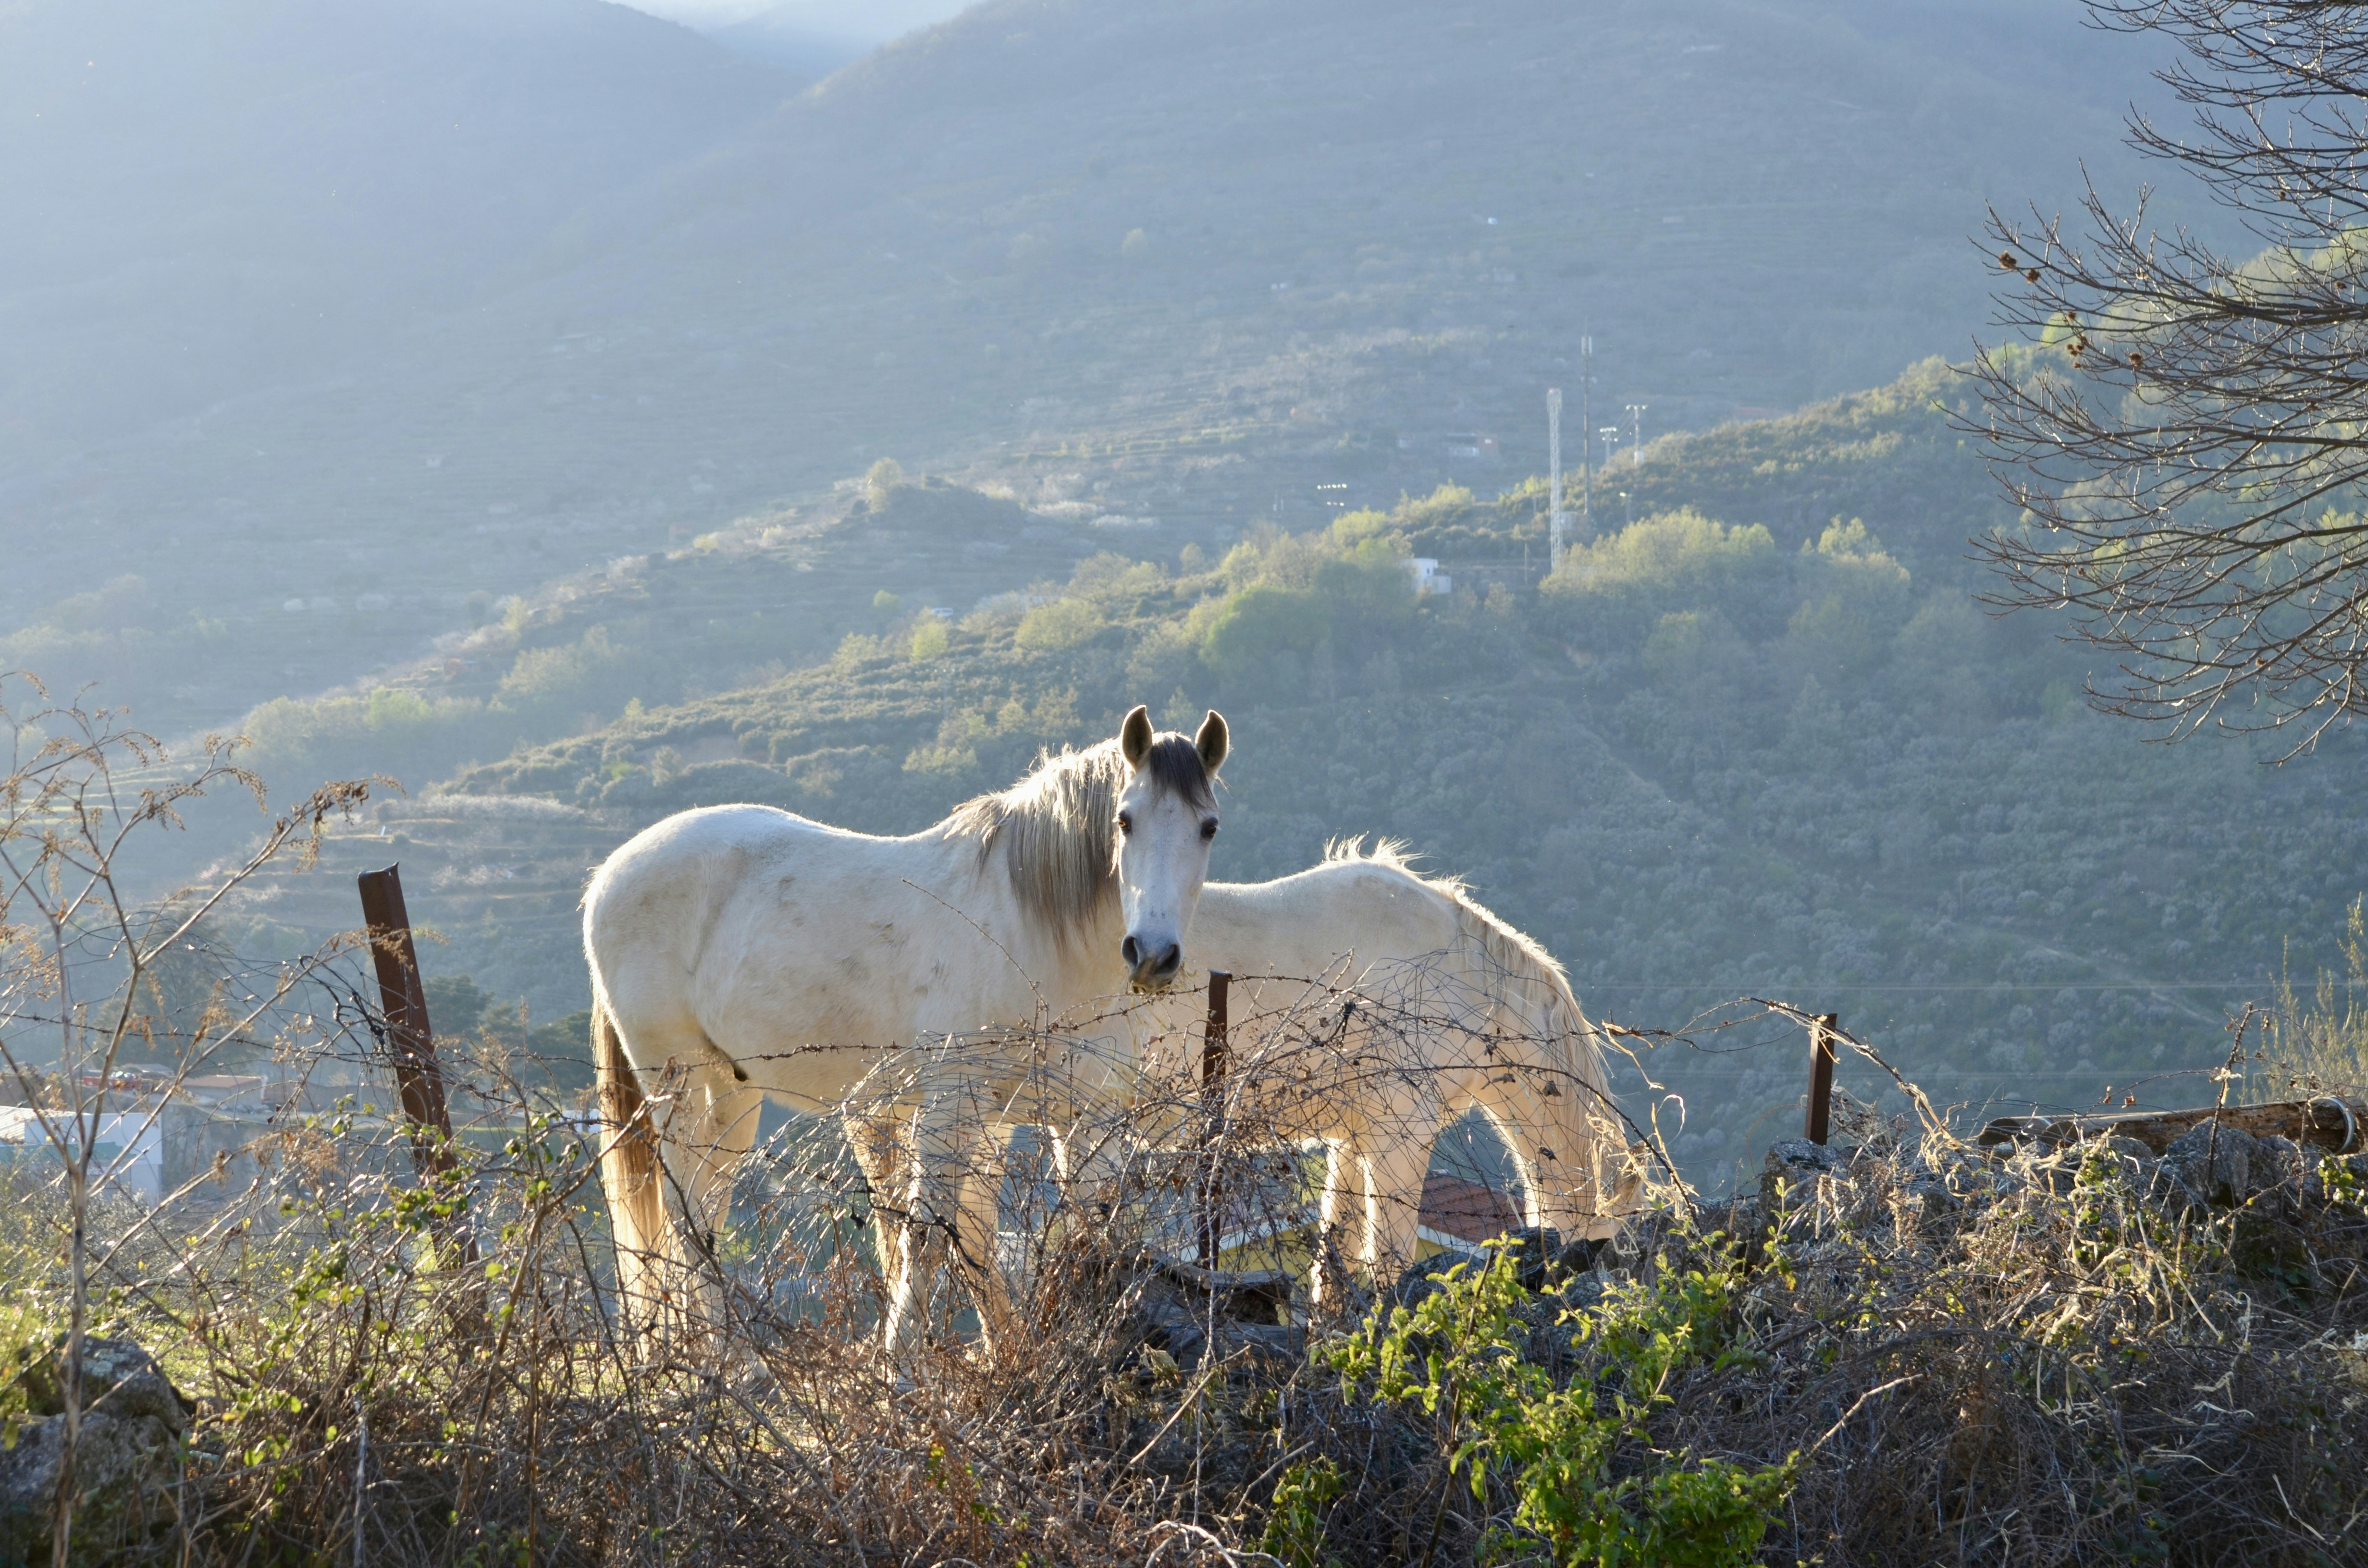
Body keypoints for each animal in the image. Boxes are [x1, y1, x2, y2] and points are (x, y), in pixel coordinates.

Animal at [585, 704, 1228, 1352]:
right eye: (1124, 820)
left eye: (1208, 828)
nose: (1152, 955)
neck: (1034, 939)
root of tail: (609, 874)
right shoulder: (950, 1108)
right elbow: (928, 1237)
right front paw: (899, 1366)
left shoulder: (1075, 1116)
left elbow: (1073, 1234)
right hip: (679, 1090)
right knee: (686, 1220)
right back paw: (734, 1364)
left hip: (732, 1097)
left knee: (705, 1213)